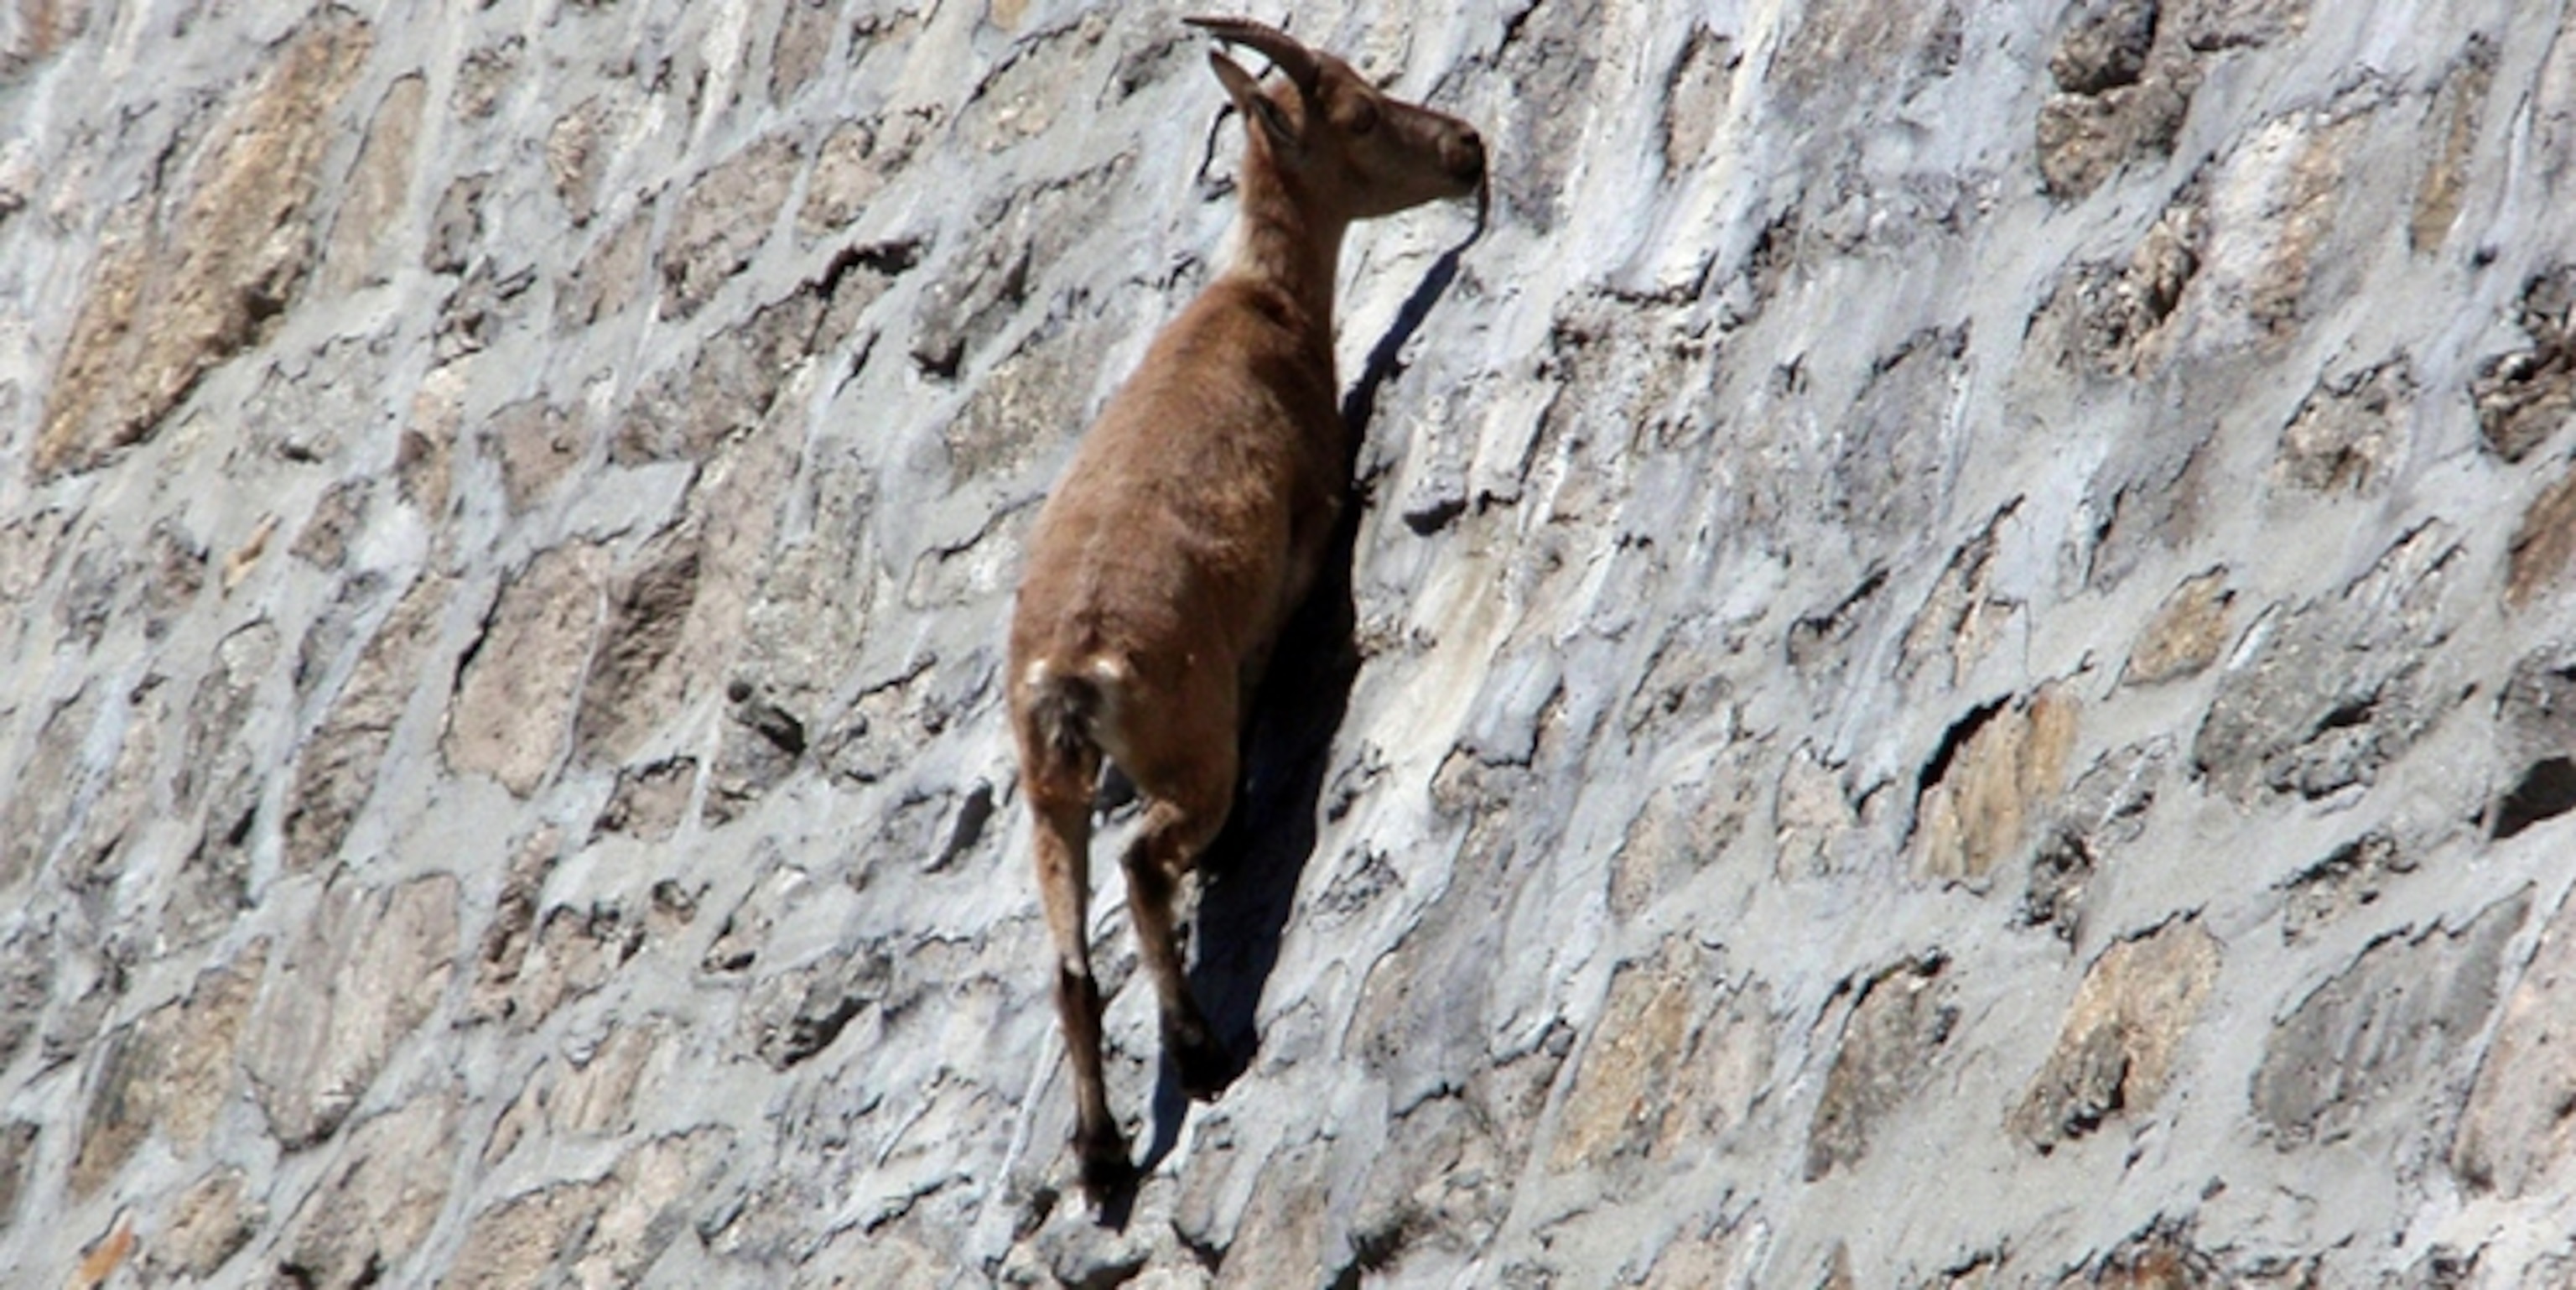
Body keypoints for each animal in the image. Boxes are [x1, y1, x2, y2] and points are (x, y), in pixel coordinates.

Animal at [1006, 16, 1486, 1204]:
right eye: (1358, 113)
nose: (1467, 145)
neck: (1262, 304)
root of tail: (1070, 675)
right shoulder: (1305, 535)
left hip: (1048, 793)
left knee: (1068, 962)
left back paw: (1101, 1157)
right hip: (1186, 745)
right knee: (1144, 866)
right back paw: (1203, 1050)